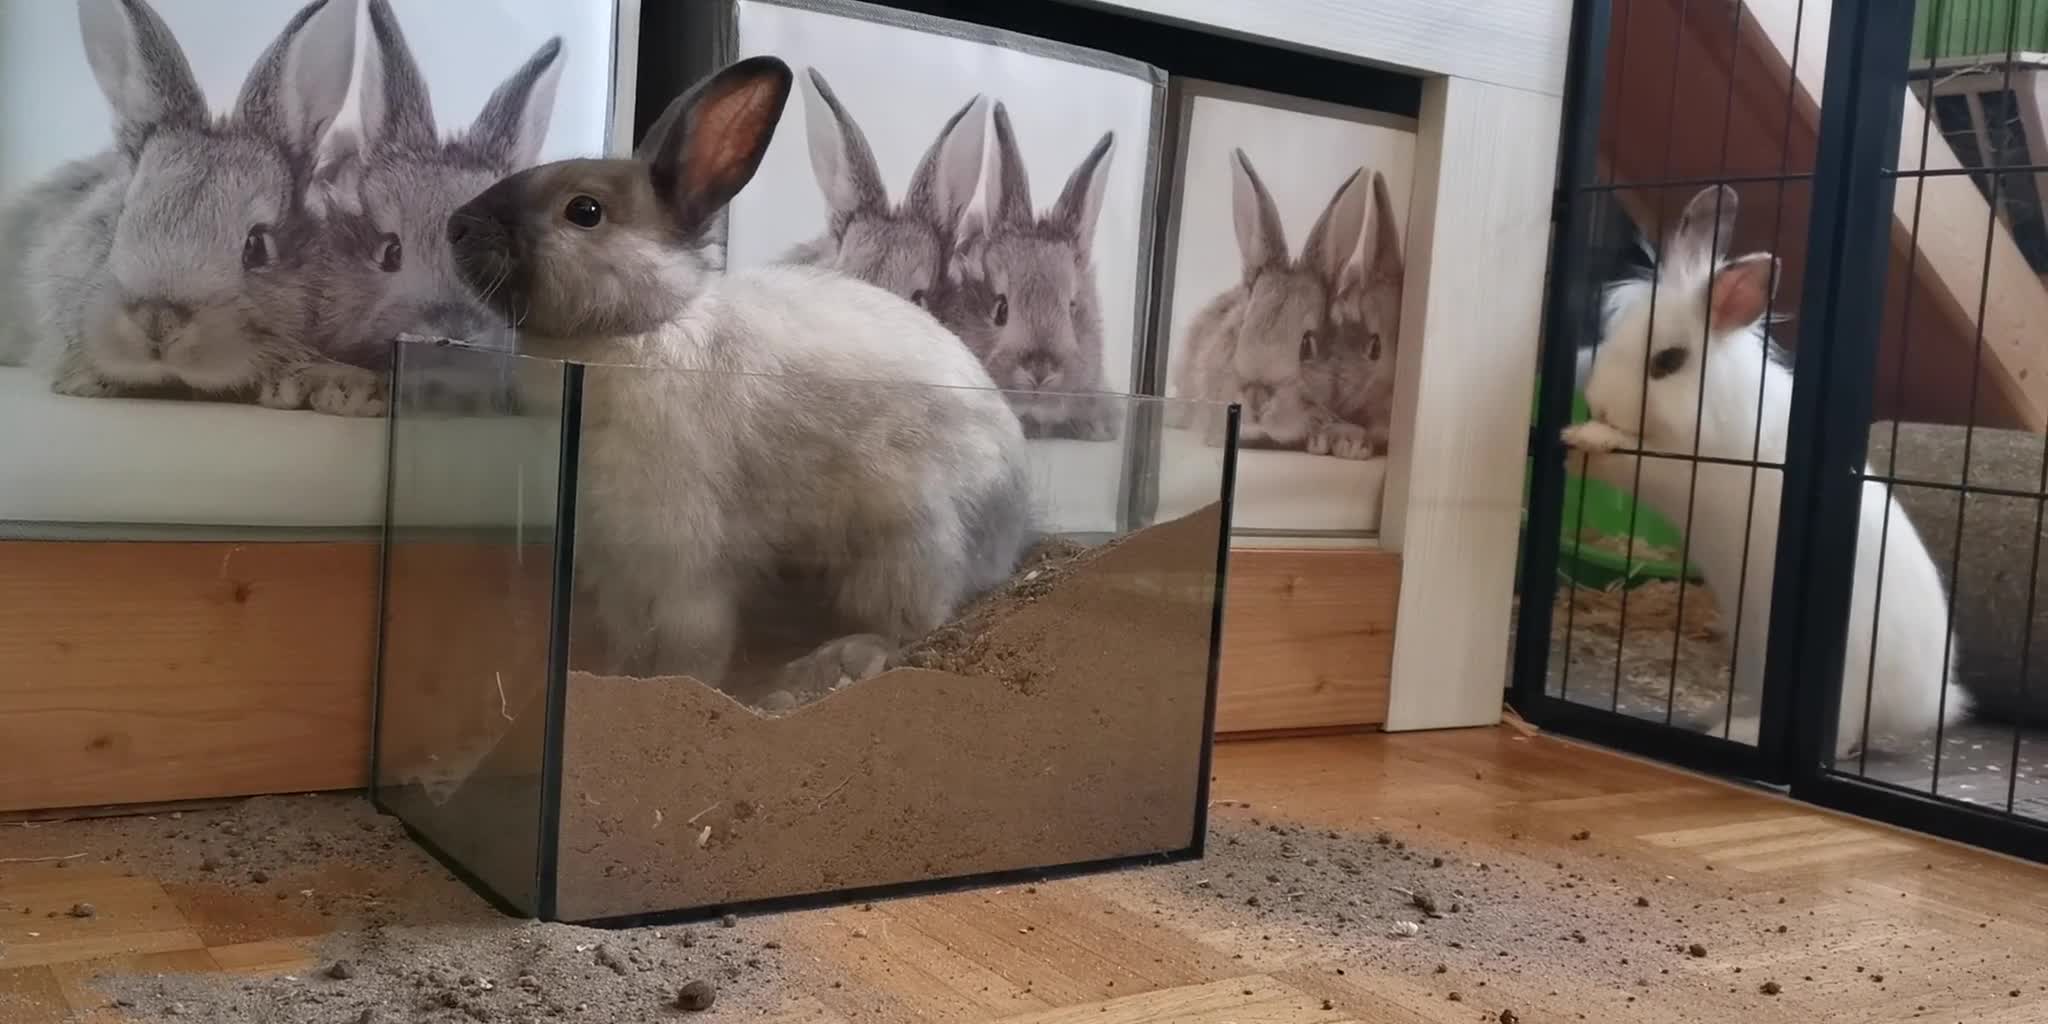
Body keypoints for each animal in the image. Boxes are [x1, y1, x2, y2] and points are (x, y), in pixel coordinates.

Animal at [1563, 184, 1966, 760]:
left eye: (1668, 362)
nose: (1598, 403)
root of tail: (1931, 702)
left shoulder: (1683, 465)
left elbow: (1635, 456)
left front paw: (1585, 441)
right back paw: (1722, 714)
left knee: (1842, 734)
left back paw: (1738, 732)